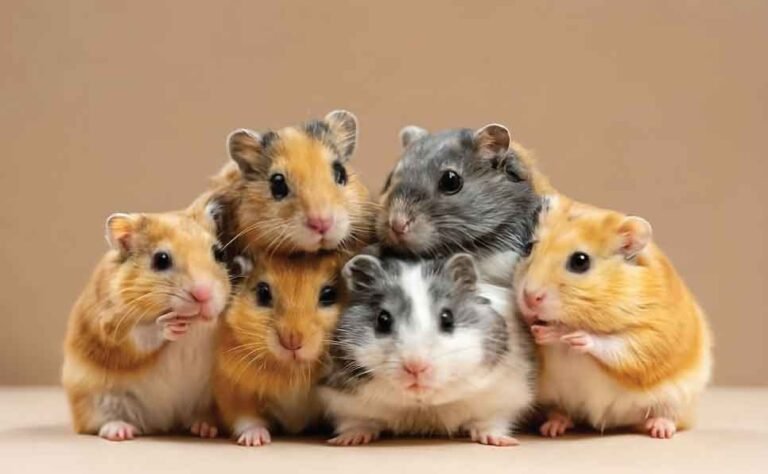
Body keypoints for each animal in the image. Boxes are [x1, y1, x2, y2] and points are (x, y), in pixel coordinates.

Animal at [61, 204, 232, 441]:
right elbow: (144, 333)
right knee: (101, 423)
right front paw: (170, 324)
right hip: (94, 399)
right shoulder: (111, 328)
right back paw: (121, 431)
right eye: (161, 259)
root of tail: (165, 420)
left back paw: (205, 429)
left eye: (219, 253)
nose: (203, 295)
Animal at [213, 252, 345, 446]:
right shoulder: (233, 388)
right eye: (262, 292)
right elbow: (247, 418)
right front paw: (255, 441)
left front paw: (344, 439)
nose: (291, 341)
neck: (293, 372)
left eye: (329, 294)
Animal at [320, 253, 535, 446]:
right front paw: (344, 441)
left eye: (447, 318)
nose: (415, 367)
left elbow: (490, 423)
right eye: (383, 319)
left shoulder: (501, 397)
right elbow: (356, 423)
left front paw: (503, 442)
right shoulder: (345, 404)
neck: (423, 406)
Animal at [514, 195, 712, 439]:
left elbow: (612, 343)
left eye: (580, 261)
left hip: (680, 396)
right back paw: (553, 428)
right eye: (528, 247)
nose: (528, 297)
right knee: (559, 411)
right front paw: (540, 332)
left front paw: (570, 335)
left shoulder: (651, 337)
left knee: (668, 415)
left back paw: (659, 429)